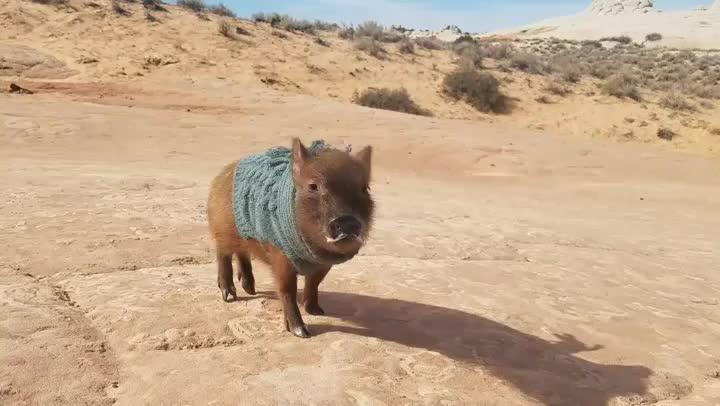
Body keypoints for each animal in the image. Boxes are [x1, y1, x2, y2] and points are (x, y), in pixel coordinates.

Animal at [206, 138, 375, 338]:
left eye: (365, 188)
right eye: (313, 186)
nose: (347, 221)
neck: (311, 253)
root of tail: (224, 172)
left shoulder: (323, 264)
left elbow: (314, 283)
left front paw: (316, 311)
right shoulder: (281, 256)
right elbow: (287, 290)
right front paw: (302, 332)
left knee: (243, 253)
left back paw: (250, 289)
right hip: (222, 229)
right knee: (223, 254)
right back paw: (229, 296)